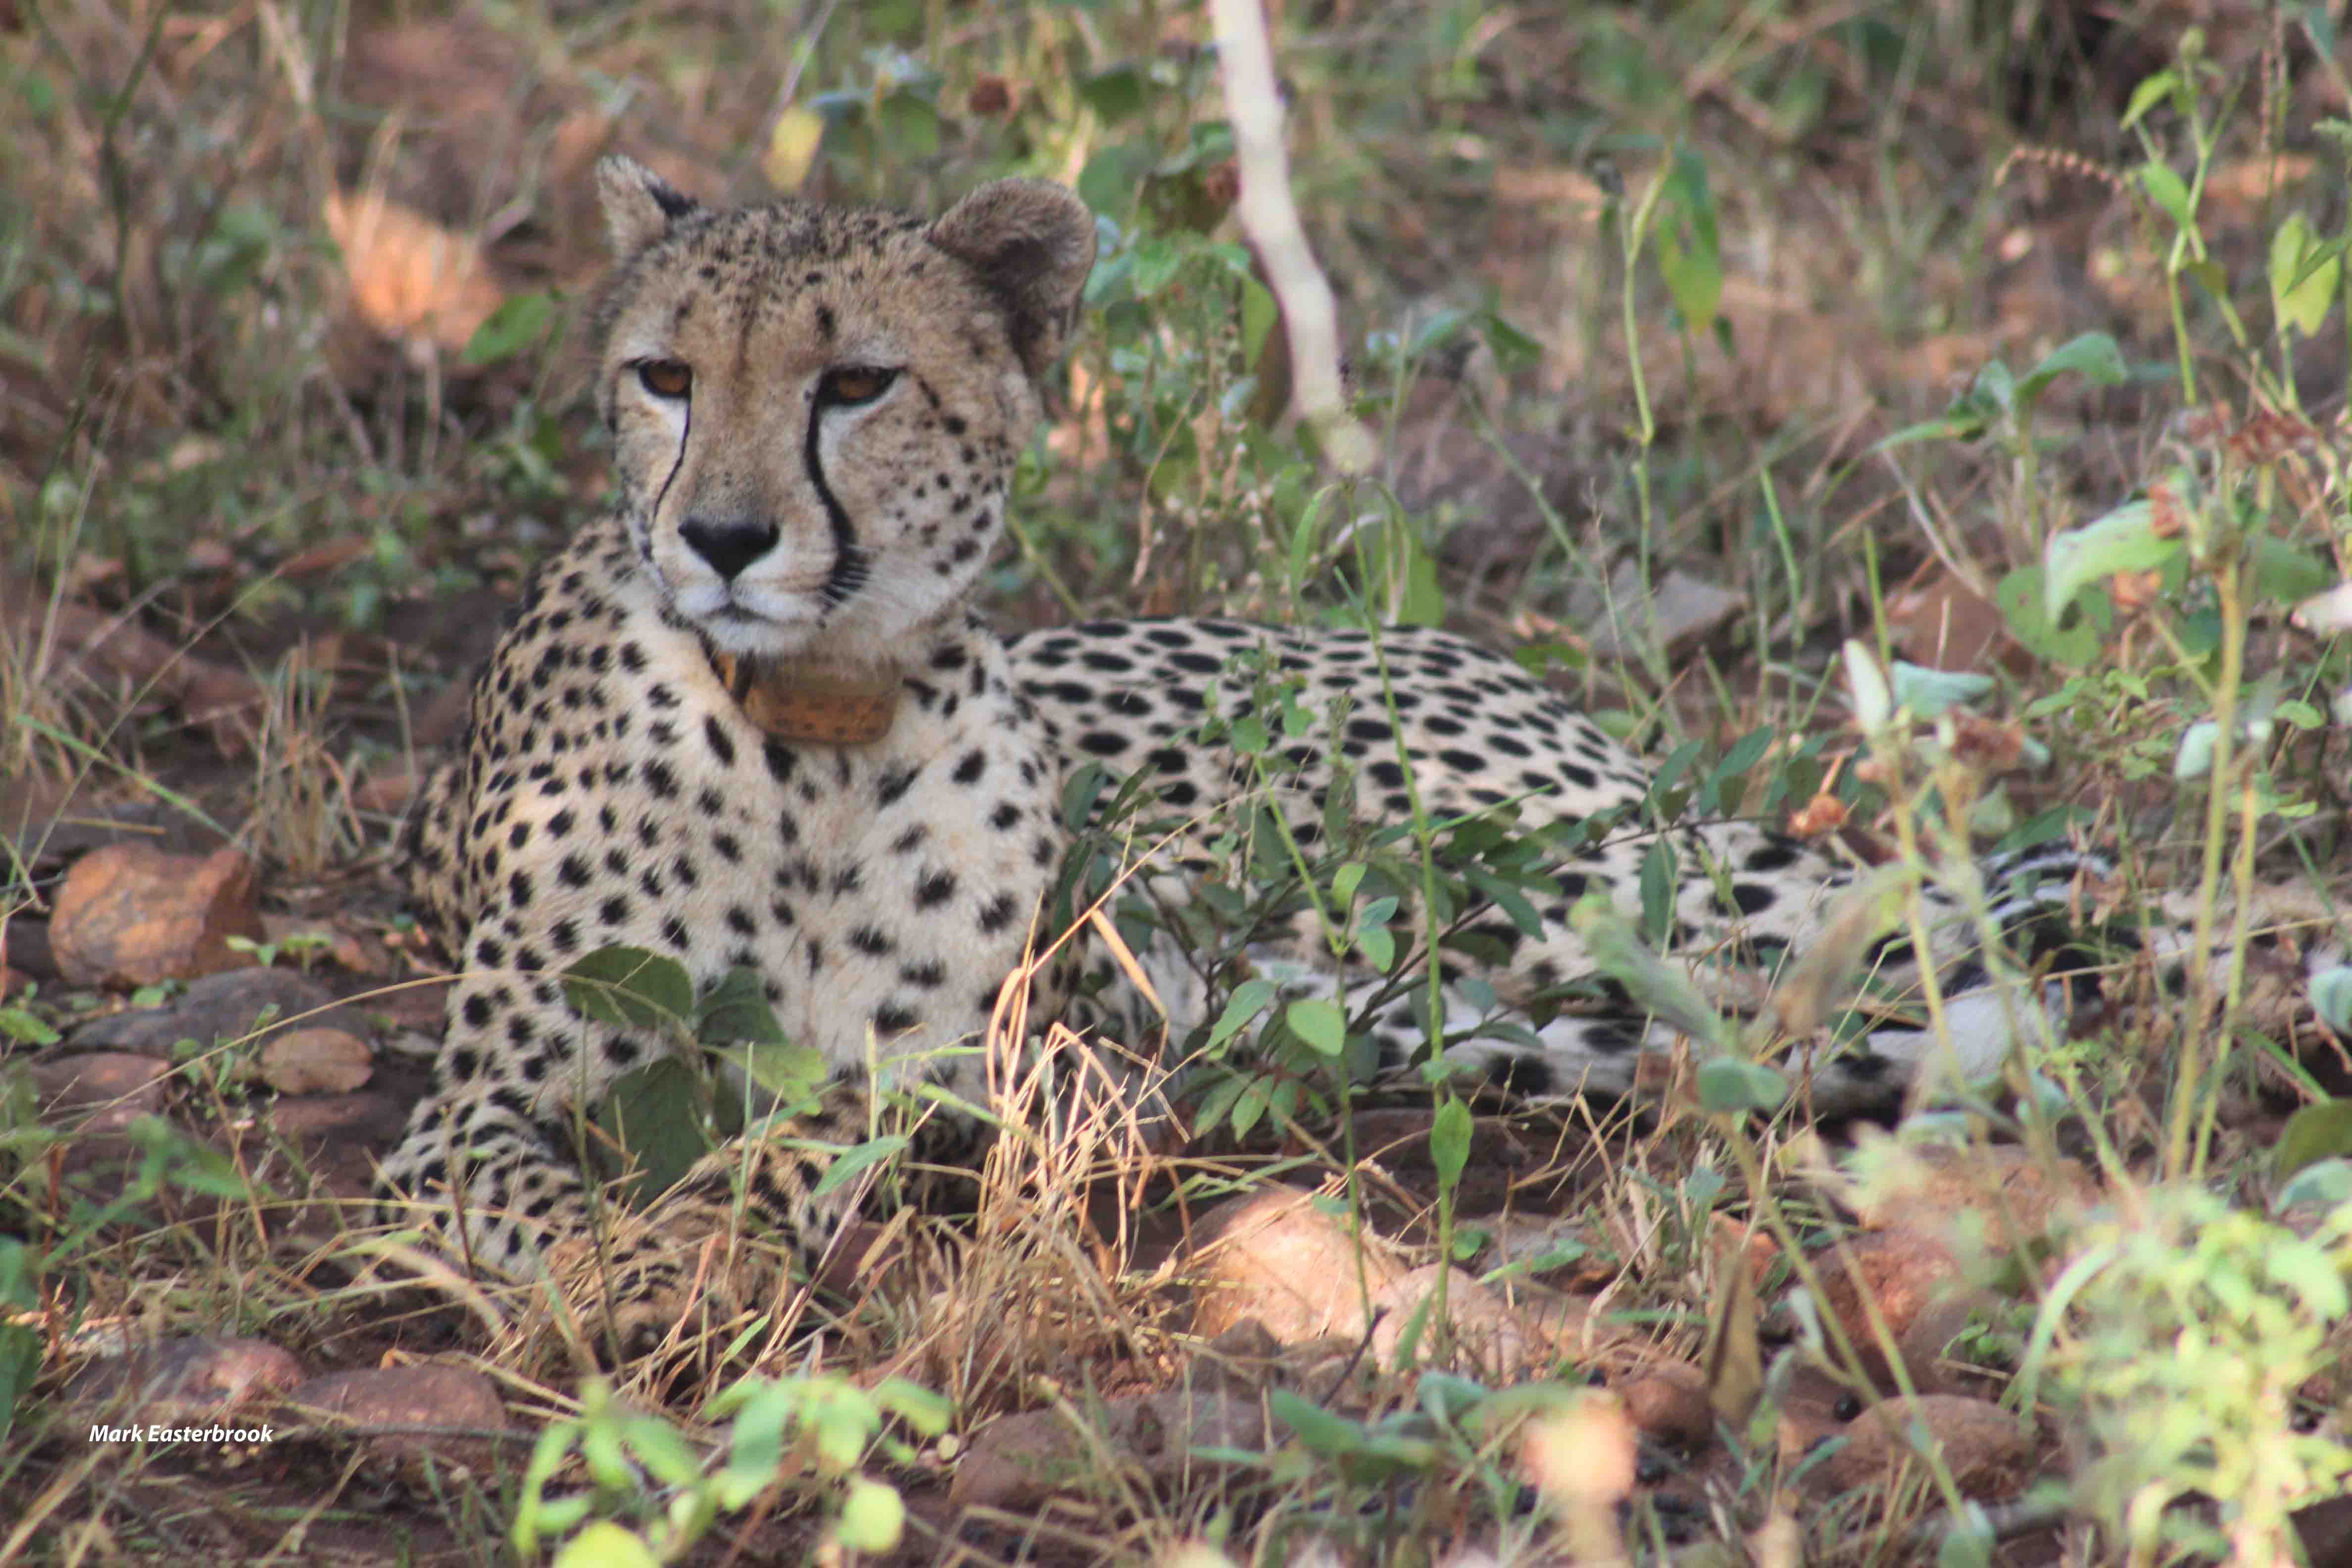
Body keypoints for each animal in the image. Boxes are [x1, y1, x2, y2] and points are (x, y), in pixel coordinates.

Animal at [382, 155, 2344, 1362]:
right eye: (661, 375)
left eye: (854, 385)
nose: (718, 538)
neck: (815, 729)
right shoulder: (466, 1114)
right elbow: (548, 1187)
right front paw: (655, 1265)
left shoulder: (957, 1081)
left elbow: (814, 1140)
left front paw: (724, 1233)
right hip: (1528, 1006)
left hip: (1573, 900)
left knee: (1980, 911)